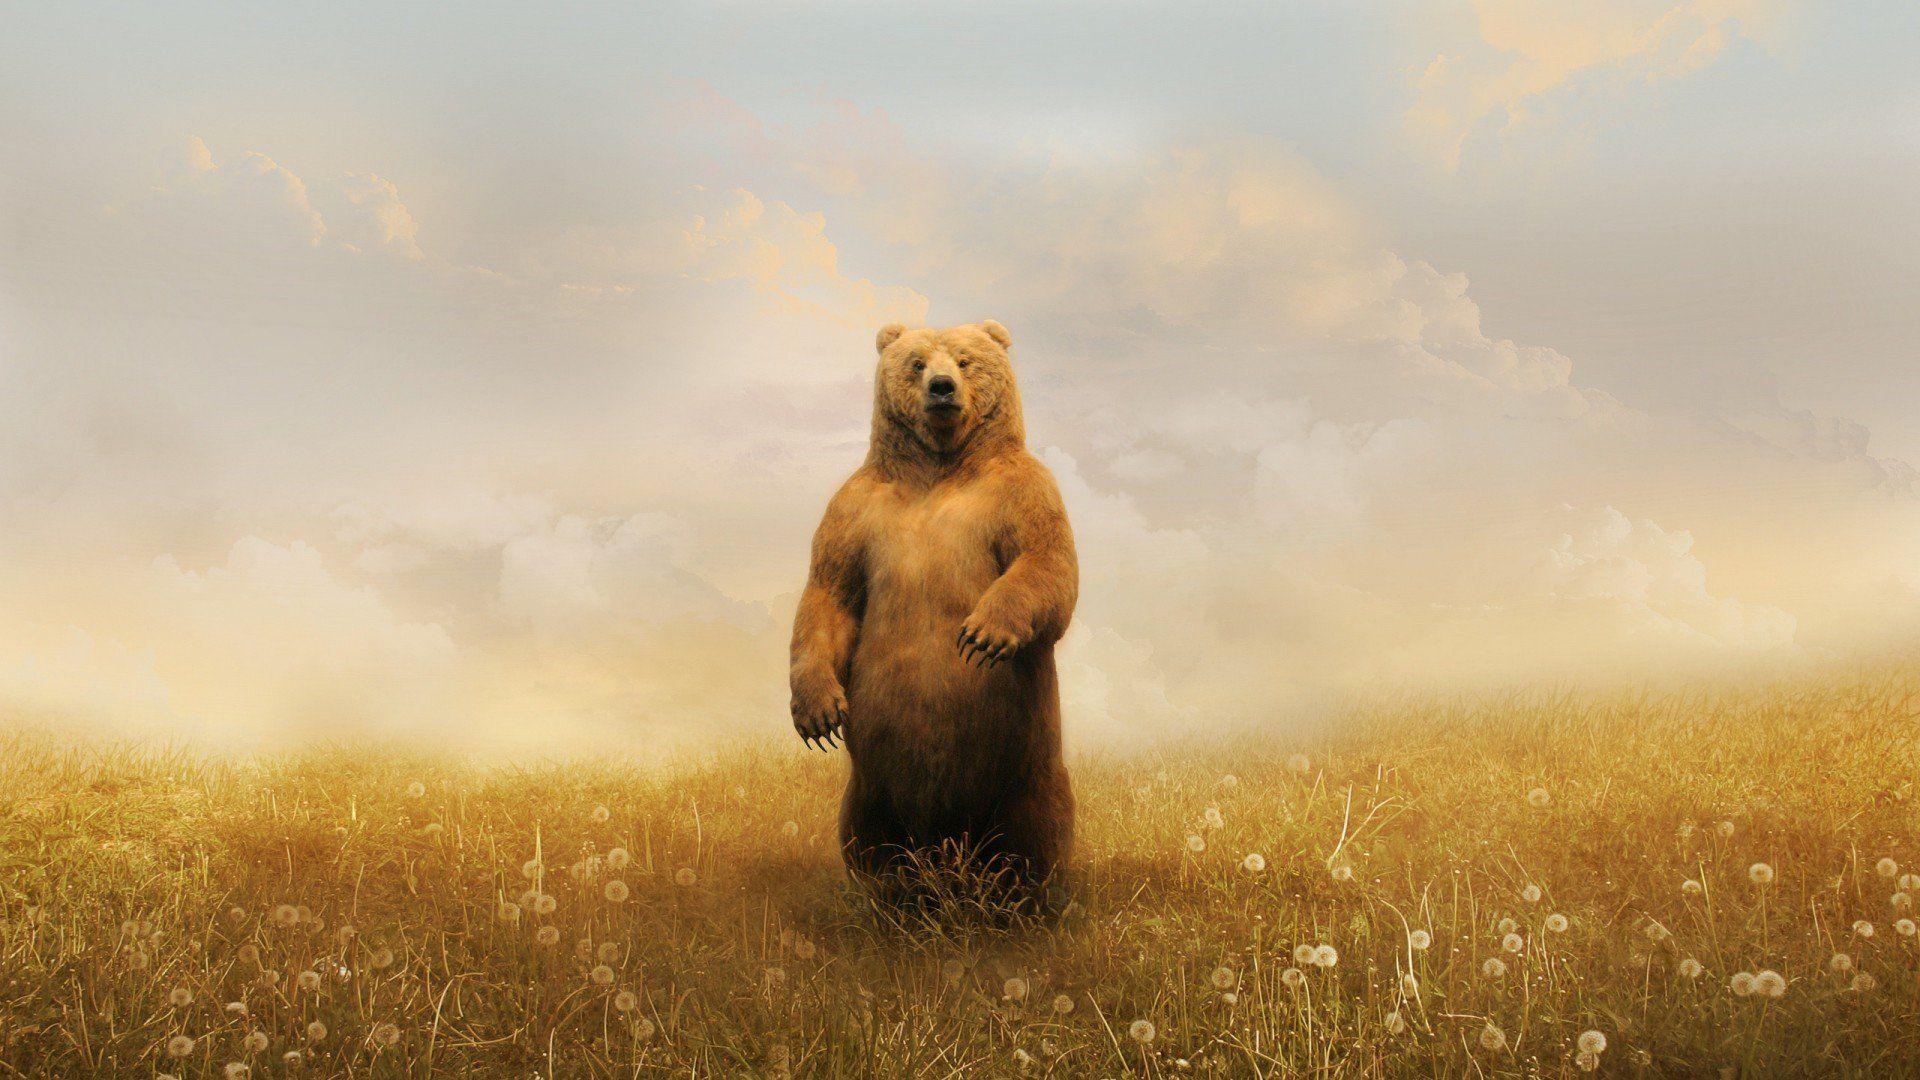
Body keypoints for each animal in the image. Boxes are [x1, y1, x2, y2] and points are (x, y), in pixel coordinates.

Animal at [788, 319, 1078, 898]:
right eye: (917, 362)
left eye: (965, 360)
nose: (942, 388)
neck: (941, 465)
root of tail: (947, 848)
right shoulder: (854, 511)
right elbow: (829, 594)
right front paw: (818, 714)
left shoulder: (1021, 491)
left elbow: (1047, 563)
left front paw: (982, 633)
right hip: (872, 786)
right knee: (867, 837)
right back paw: (890, 895)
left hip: (1025, 769)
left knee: (1036, 833)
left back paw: (1023, 897)